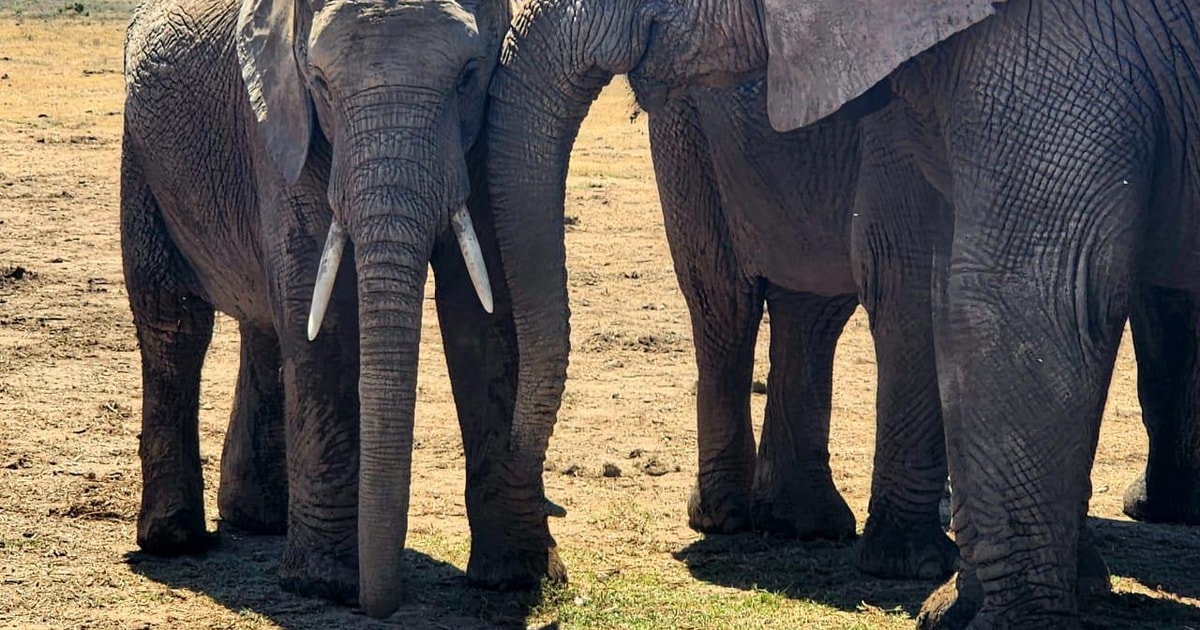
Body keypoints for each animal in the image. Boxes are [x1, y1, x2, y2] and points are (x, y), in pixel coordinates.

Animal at [120, 0, 564, 618]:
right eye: (322, 85)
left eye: (468, 77)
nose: (382, 605)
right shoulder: (281, 125)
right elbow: (321, 314)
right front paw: (326, 585)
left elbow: (484, 307)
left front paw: (519, 579)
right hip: (139, 156)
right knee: (174, 324)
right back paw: (175, 540)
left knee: (263, 326)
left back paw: (258, 521)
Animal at [485, 0, 957, 582]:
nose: (553, 505)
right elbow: (907, 275)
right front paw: (916, 566)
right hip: (686, 124)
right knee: (725, 301)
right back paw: (731, 517)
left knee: (811, 303)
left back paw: (803, 524)